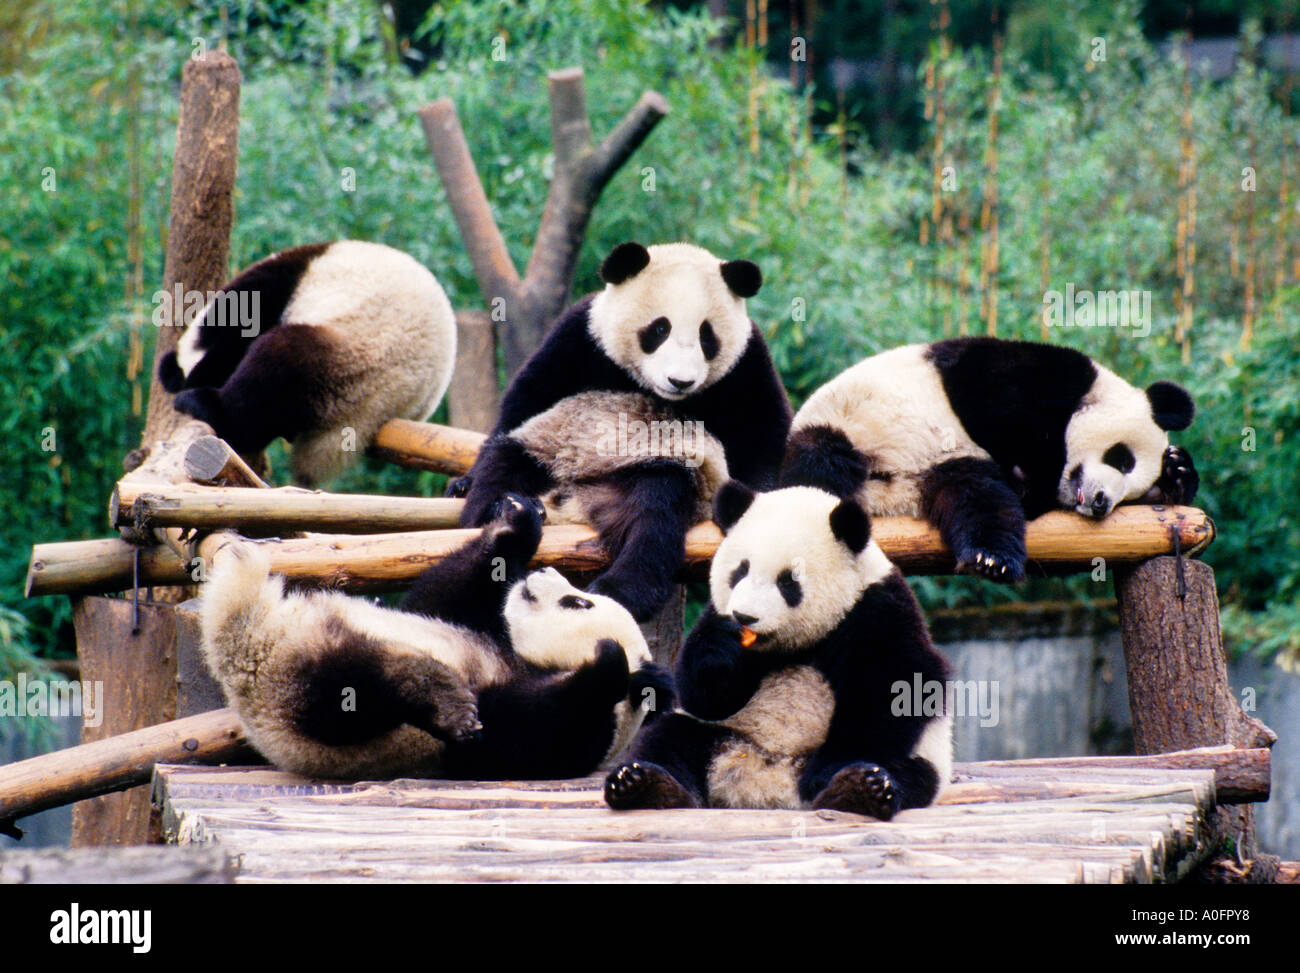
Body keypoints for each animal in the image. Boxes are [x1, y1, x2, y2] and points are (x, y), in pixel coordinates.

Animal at [159, 240, 457, 486]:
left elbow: (237, 338)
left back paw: (202, 405)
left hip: (356, 358)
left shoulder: (266, 294)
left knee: (274, 367)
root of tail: (388, 404)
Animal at [199, 497, 674, 781]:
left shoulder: (569, 736)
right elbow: (438, 595)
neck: (525, 661)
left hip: (299, 700)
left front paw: (610, 660)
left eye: (579, 602)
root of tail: (248, 651)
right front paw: (518, 521)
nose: (543, 572)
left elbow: (521, 729)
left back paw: (438, 694)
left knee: (351, 690)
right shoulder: (475, 621)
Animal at [454, 241, 792, 621]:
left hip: (651, 474)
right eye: (659, 330)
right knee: (504, 466)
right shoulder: (581, 335)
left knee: (654, 516)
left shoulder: (746, 364)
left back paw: (622, 587)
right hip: (543, 450)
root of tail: (573, 501)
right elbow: (530, 396)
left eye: (708, 337)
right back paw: (503, 515)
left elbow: (762, 434)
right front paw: (464, 483)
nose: (680, 381)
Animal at [604, 482, 953, 820]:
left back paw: (857, 790)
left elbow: (897, 687)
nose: (745, 617)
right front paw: (722, 648)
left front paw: (828, 772)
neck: (791, 644)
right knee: (670, 738)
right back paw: (645, 786)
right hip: (724, 734)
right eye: (740, 571)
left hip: (922, 756)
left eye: (788, 582)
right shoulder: (718, 613)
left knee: (909, 773)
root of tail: (768, 779)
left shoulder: (877, 609)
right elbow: (704, 697)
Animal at [781, 337, 1199, 583]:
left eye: (1131, 491)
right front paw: (1036, 470)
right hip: (845, 421)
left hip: (948, 467)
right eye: (1123, 459)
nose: (1101, 502)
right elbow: (990, 396)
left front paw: (1175, 474)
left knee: (980, 501)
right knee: (819, 464)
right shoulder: (1035, 372)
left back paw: (990, 559)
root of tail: (886, 492)